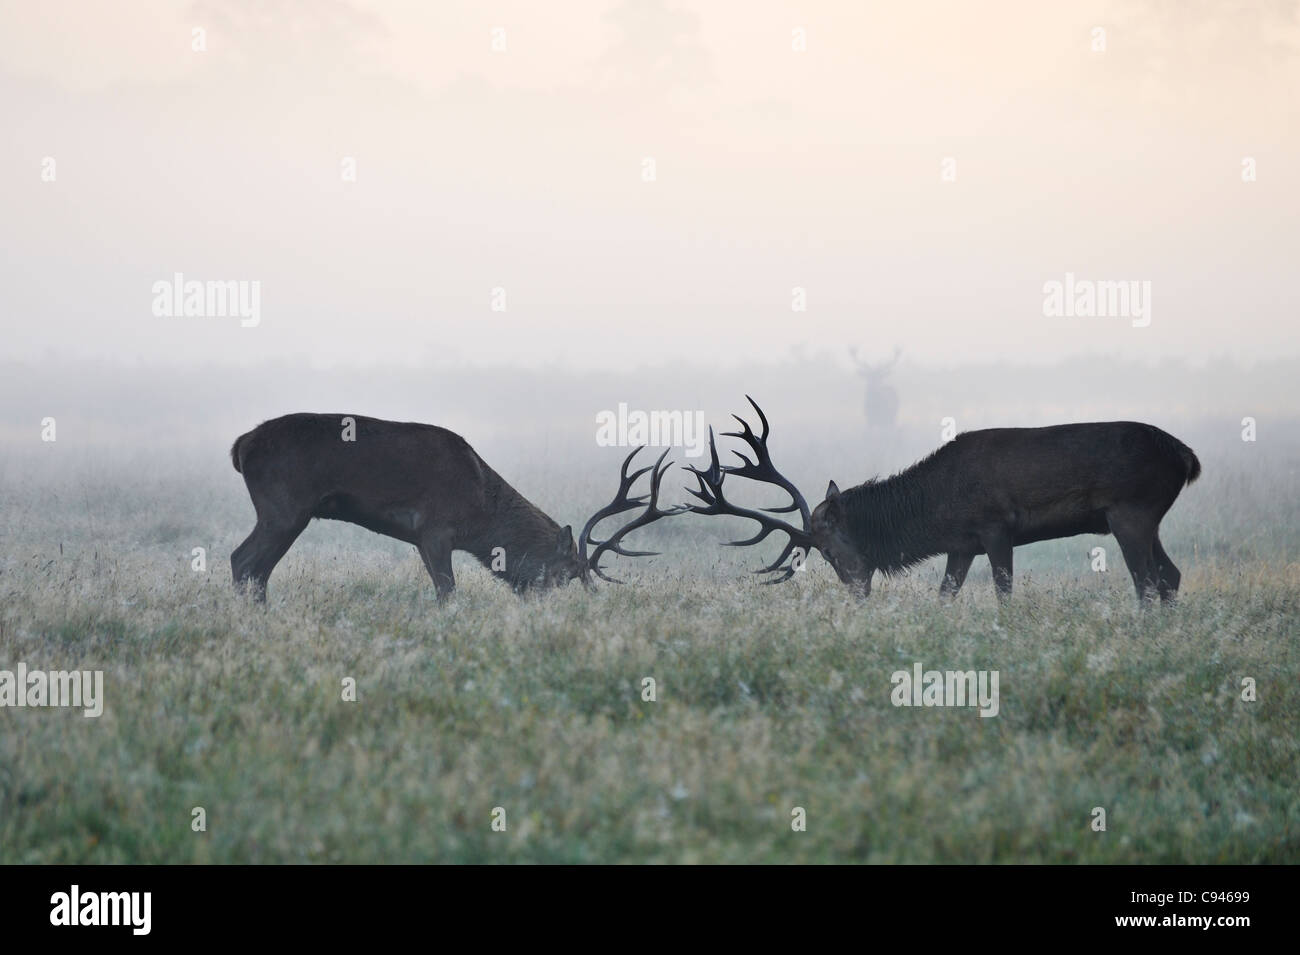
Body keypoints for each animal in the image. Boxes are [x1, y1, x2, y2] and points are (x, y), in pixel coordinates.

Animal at [229, 413, 682, 600]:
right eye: (564, 573)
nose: (547, 609)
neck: (479, 513)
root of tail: (240, 447)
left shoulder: (420, 538)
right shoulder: (436, 528)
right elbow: (447, 590)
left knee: (254, 568)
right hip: (284, 507)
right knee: (244, 561)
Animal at [685, 397, 1201, 604]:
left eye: (828, 550)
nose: (857, 592)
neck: (934, 510)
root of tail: (1186, 457)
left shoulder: (995, 526)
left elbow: (1004, 593)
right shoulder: (961, 543)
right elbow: (944, 595)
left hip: (1131, 510)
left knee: (1147, 582)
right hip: (1144, 518)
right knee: (1170, 575)